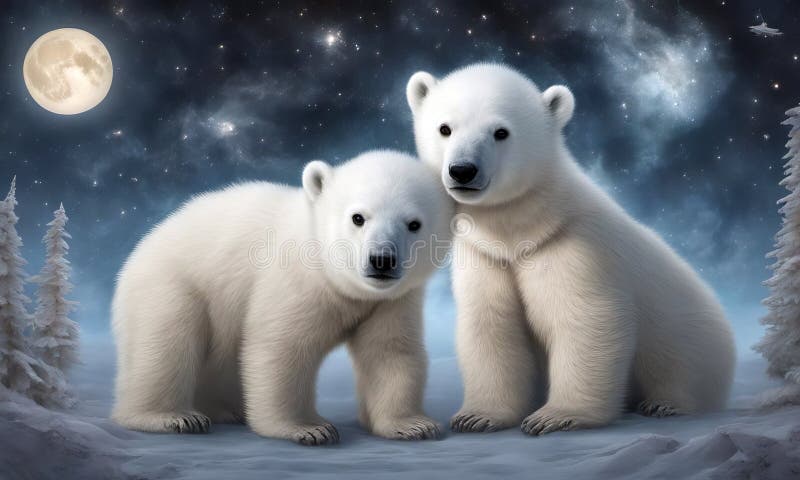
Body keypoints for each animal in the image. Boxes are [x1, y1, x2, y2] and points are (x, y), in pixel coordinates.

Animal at [111, 150, 453, 445]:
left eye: (414, 224)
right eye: (358, 217)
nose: (382, 260)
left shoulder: (391, 301)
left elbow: (389, 351)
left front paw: (414, 425)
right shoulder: (295, 279)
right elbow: (283, 347)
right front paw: (309, 428)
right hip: (170, 285)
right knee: (168, 342)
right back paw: (172, 416)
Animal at [406, 63, 736, 435]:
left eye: (501, 132)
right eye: (445, 128)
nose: (462, 170)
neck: (522, 229)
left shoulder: (574, 248)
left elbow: (586, 319)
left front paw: (553, 416)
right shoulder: (486, 256)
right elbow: (491, 324)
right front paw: (477, 416)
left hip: (690, 334)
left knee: (683, 368)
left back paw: (665, 404)